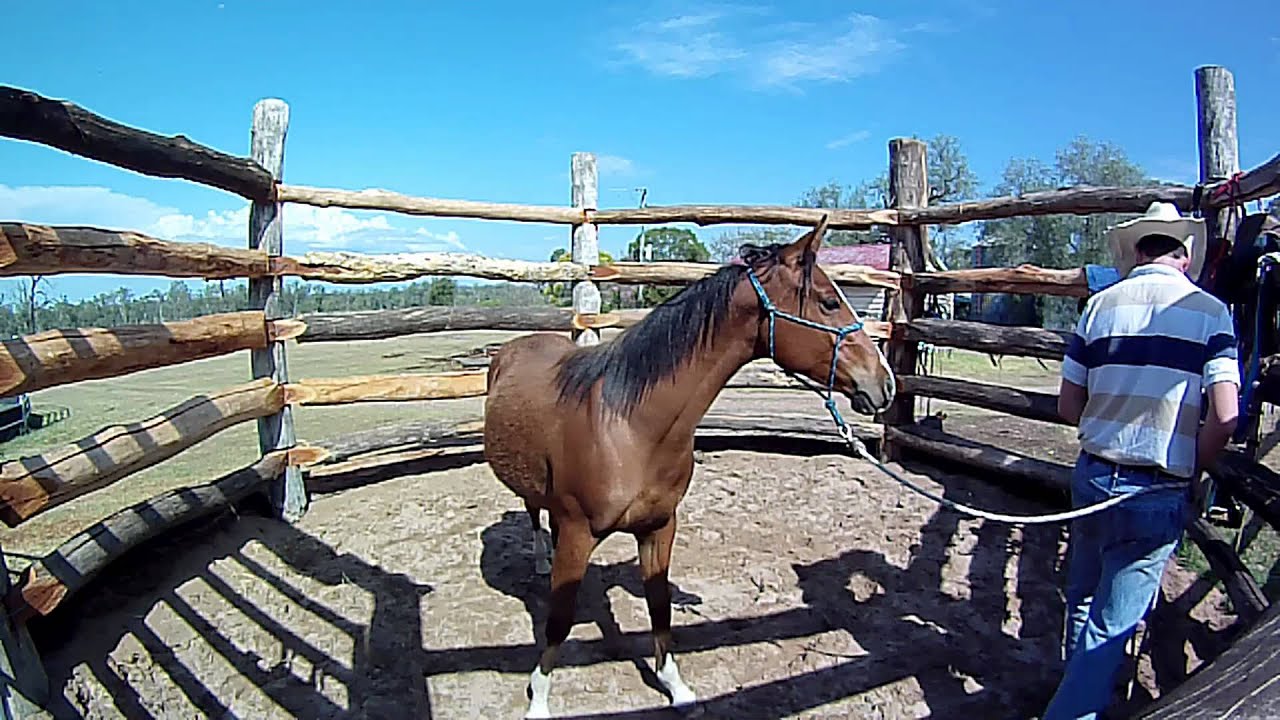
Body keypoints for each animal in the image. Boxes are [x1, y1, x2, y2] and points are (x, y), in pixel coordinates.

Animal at [482, 216, 896, 718]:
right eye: (830, 301)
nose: (884, 384)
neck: (629, 426)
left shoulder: (659, 527)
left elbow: (659, 605)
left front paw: (674, 685)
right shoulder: (580, 534)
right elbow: (560, 619)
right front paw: (539, 699)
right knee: (531, 507)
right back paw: (542, 558)